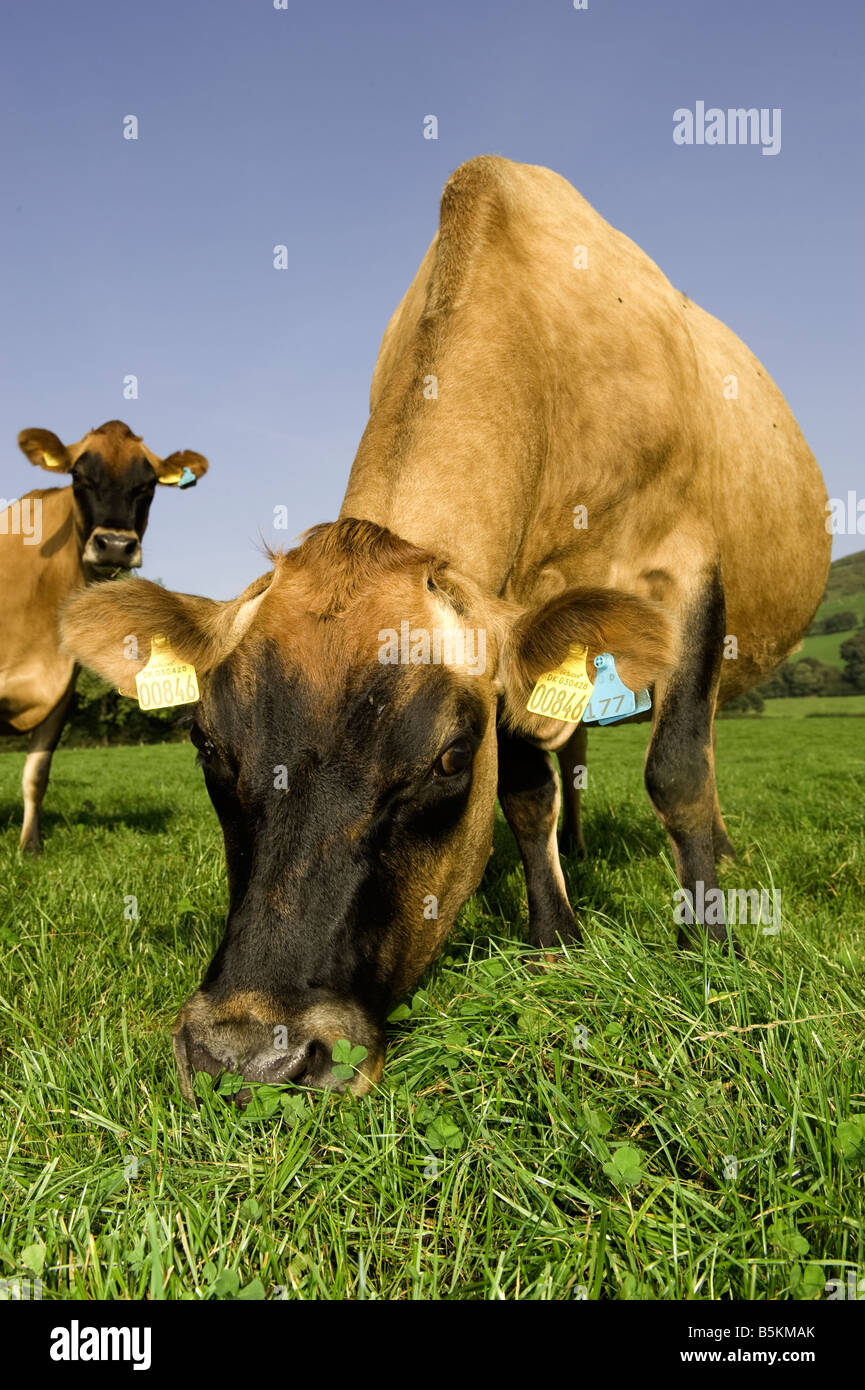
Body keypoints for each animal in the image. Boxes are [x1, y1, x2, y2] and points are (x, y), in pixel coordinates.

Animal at [1, 419, 208, 852]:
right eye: (79, 476)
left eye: (147, 485)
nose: (114, 545)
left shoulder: (62, 690)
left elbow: (37, 772)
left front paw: (31, 847)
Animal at [61, 158, 830, 1101]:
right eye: (206, 744)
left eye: (448, 758)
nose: (247, 1054)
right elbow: (528, 794)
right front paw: (556, 942)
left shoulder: (686, 568)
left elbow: (678, 771)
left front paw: (707, 952)